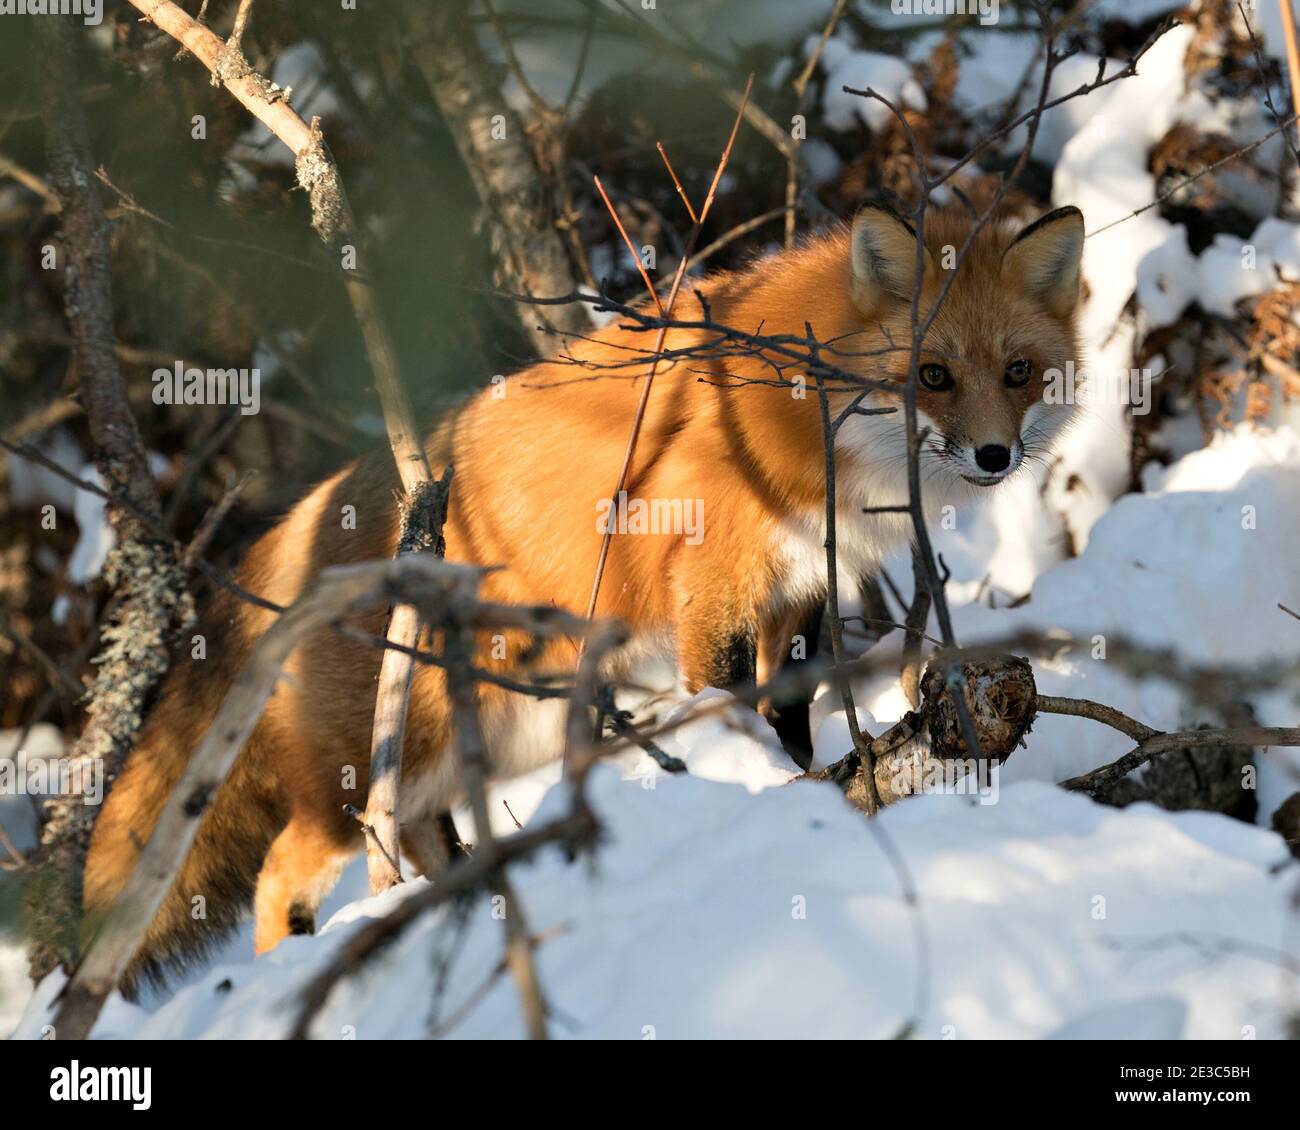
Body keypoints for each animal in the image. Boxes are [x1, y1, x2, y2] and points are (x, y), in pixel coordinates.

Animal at [82, 201, 1084, 985]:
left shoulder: (798, 593)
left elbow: (790, 719)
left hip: (459, 753)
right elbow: (731, 706)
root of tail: (293, 532)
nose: (995, 456)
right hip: (367, 773)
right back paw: (286, 965)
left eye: (1018, 372)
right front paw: (754, 791)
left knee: (414, 846)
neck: (799, 418)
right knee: (279, 876)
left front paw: (803, 788)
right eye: (932, 375)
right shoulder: (711, 586)